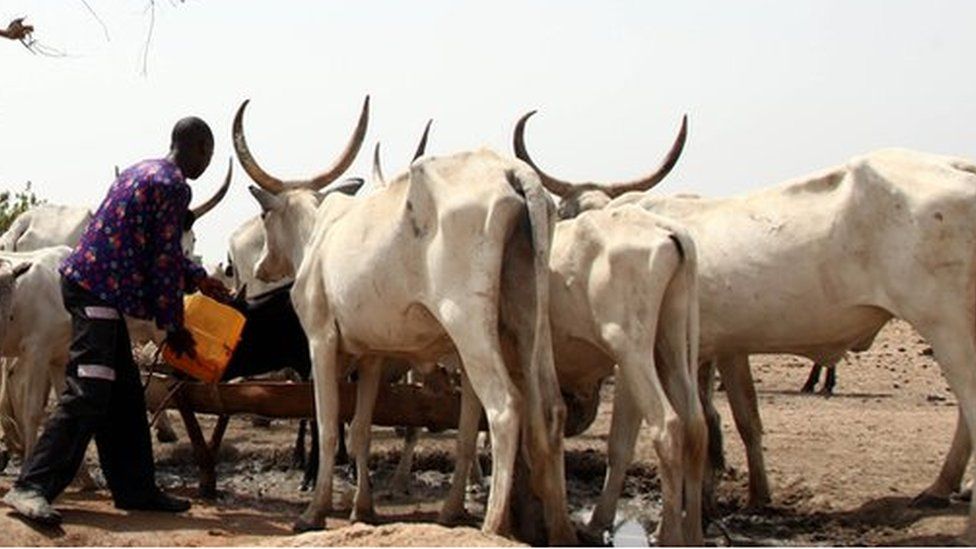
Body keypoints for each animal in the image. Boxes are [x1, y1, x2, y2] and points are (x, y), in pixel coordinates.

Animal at [233, 97, 575, 543]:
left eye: (263, 218)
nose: (260, 266)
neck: (318, 236)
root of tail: (513, 172)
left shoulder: (321, 341)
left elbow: (328, 424)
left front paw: (314, 511)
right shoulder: (373, 355)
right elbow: (360, 429)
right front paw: (363, 508)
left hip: (468, 325)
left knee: (504, 407)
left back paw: (490, 526)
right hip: (529, 319)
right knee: (549, 409)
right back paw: (556, 529)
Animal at [515, 115, 976, 543]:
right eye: (567, 212)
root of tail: (956, 165)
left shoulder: (657, 357)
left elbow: (636, 438)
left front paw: (618, 519)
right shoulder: (715, 350)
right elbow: (727, 420)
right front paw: (727, 501)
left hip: (944, 323)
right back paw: (942, 487)